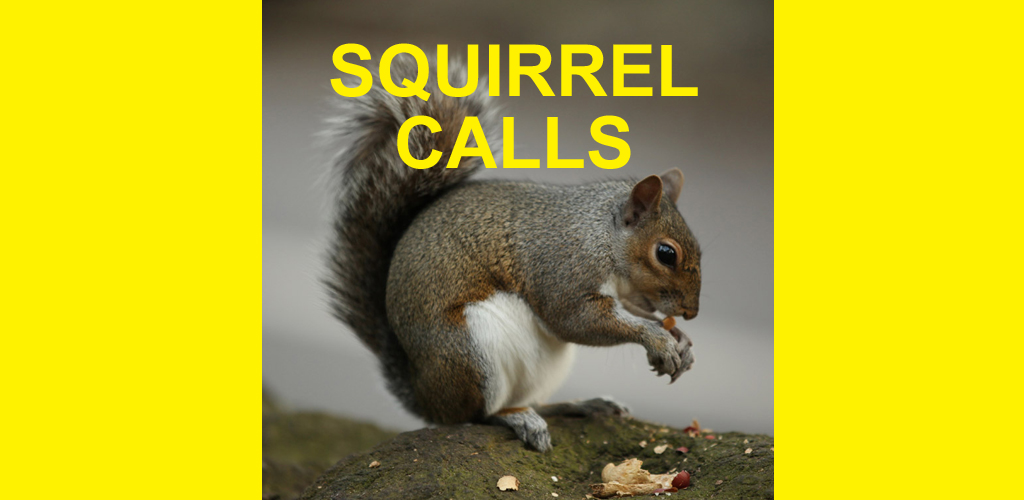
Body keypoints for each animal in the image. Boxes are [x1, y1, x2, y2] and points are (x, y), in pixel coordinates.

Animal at [324, 57, 701, 452]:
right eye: (666, 253)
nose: (691, 311)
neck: (599, 234)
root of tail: (425, 395)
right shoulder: (563, 267)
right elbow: (575, 319)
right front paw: (657, 337)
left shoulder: (623, 291)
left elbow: (631, 309)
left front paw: (681, 340)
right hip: (470, 355)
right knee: (477, 414)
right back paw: (516, 418)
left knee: (532, 400)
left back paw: (580, 404)